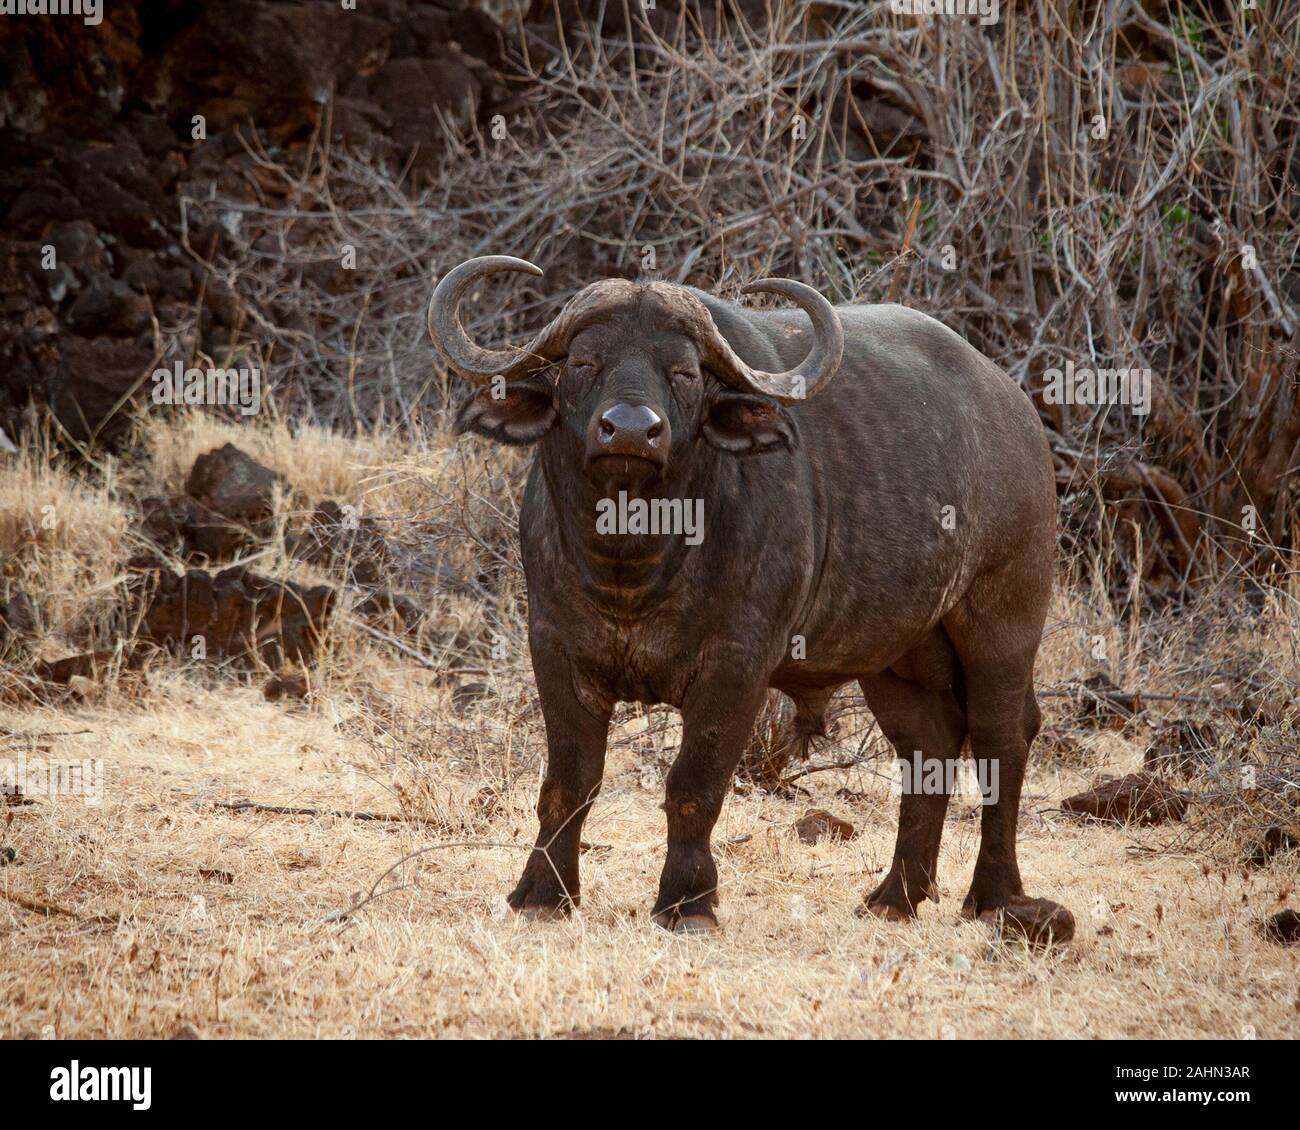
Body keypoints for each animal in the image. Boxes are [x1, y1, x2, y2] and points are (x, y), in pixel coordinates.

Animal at [430, 255, 1064, 934]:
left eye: (683, 372)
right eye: (583, 363)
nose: (630, 430)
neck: (632, 563)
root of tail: (1018, 413)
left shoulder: (738, 665)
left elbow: (694, 786)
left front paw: (687, 902)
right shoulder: (555, 650)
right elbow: (568, 784)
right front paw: (543, 893)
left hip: (1004, 622)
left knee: (1003, 740)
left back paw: (995, 896)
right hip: (898, 659)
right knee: (930, 749)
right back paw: (895, 896)